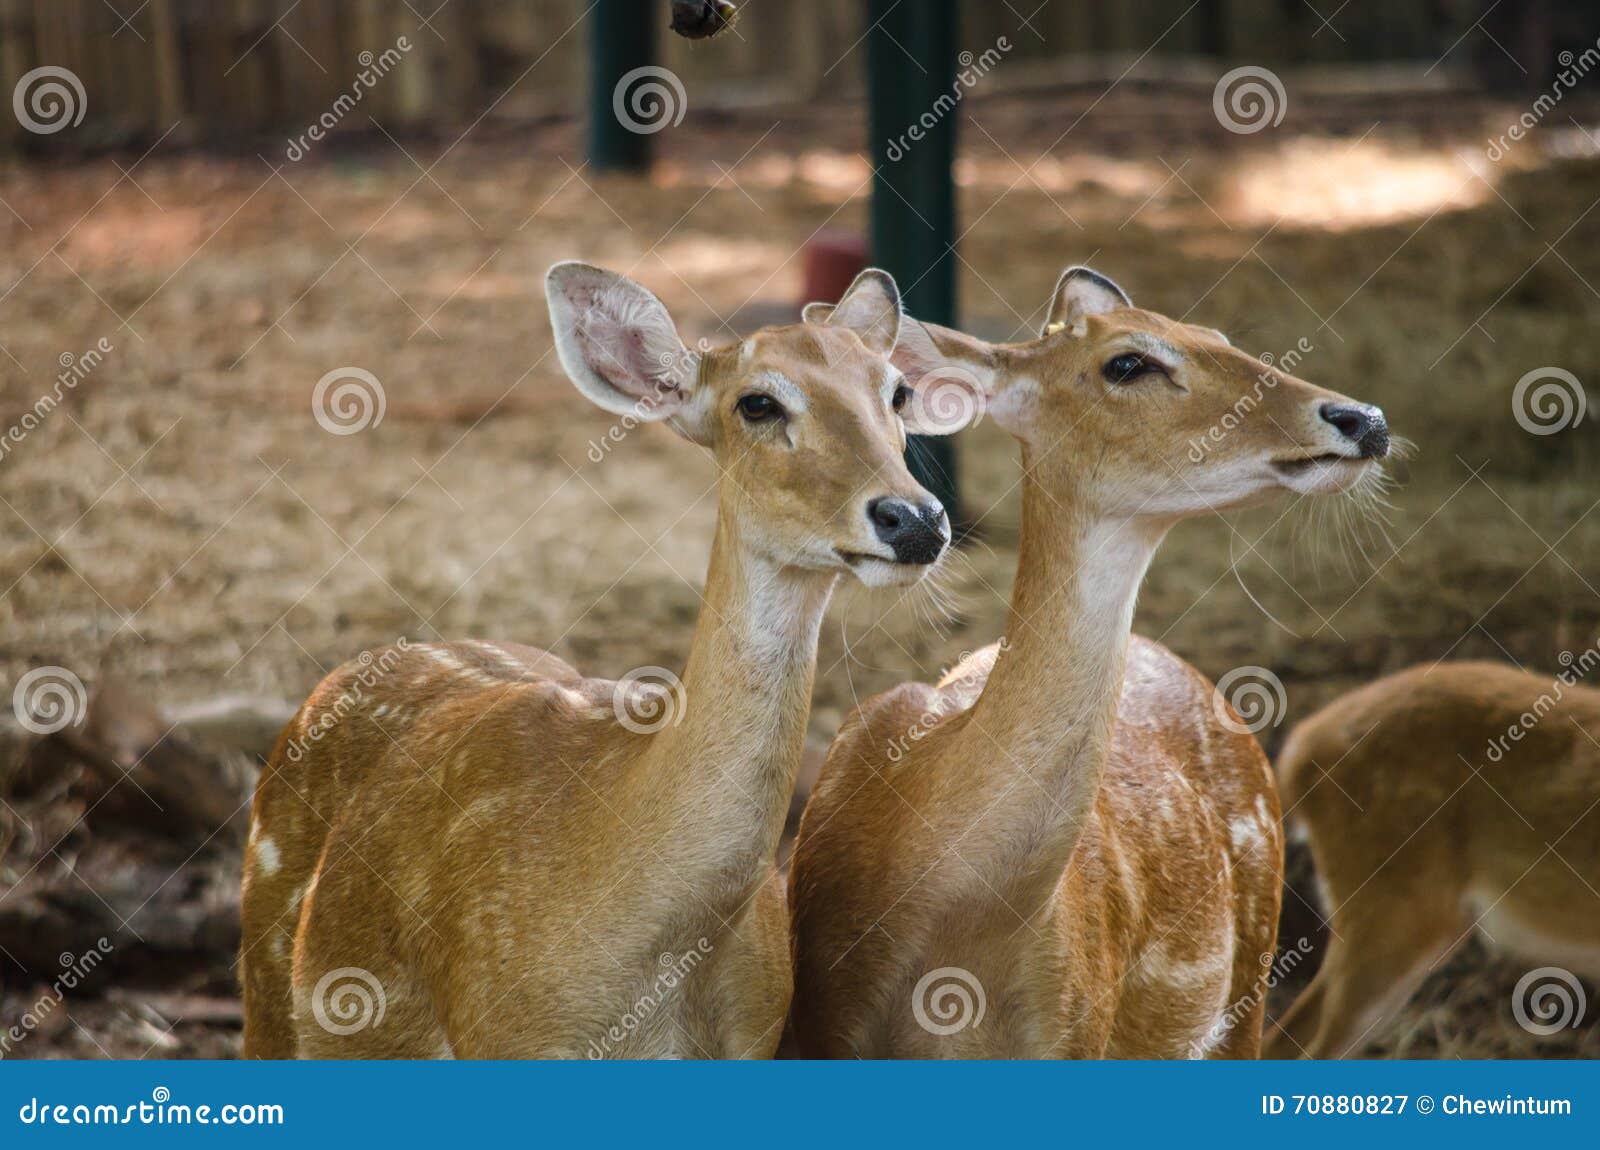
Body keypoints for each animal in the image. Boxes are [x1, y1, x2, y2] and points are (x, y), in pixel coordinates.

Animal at [240, 263, 955, 1058]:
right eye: (758, 402)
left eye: (897, 390)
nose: (913, 519)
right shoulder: (508, 1033)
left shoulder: (757, 1036)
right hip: (266, 995)